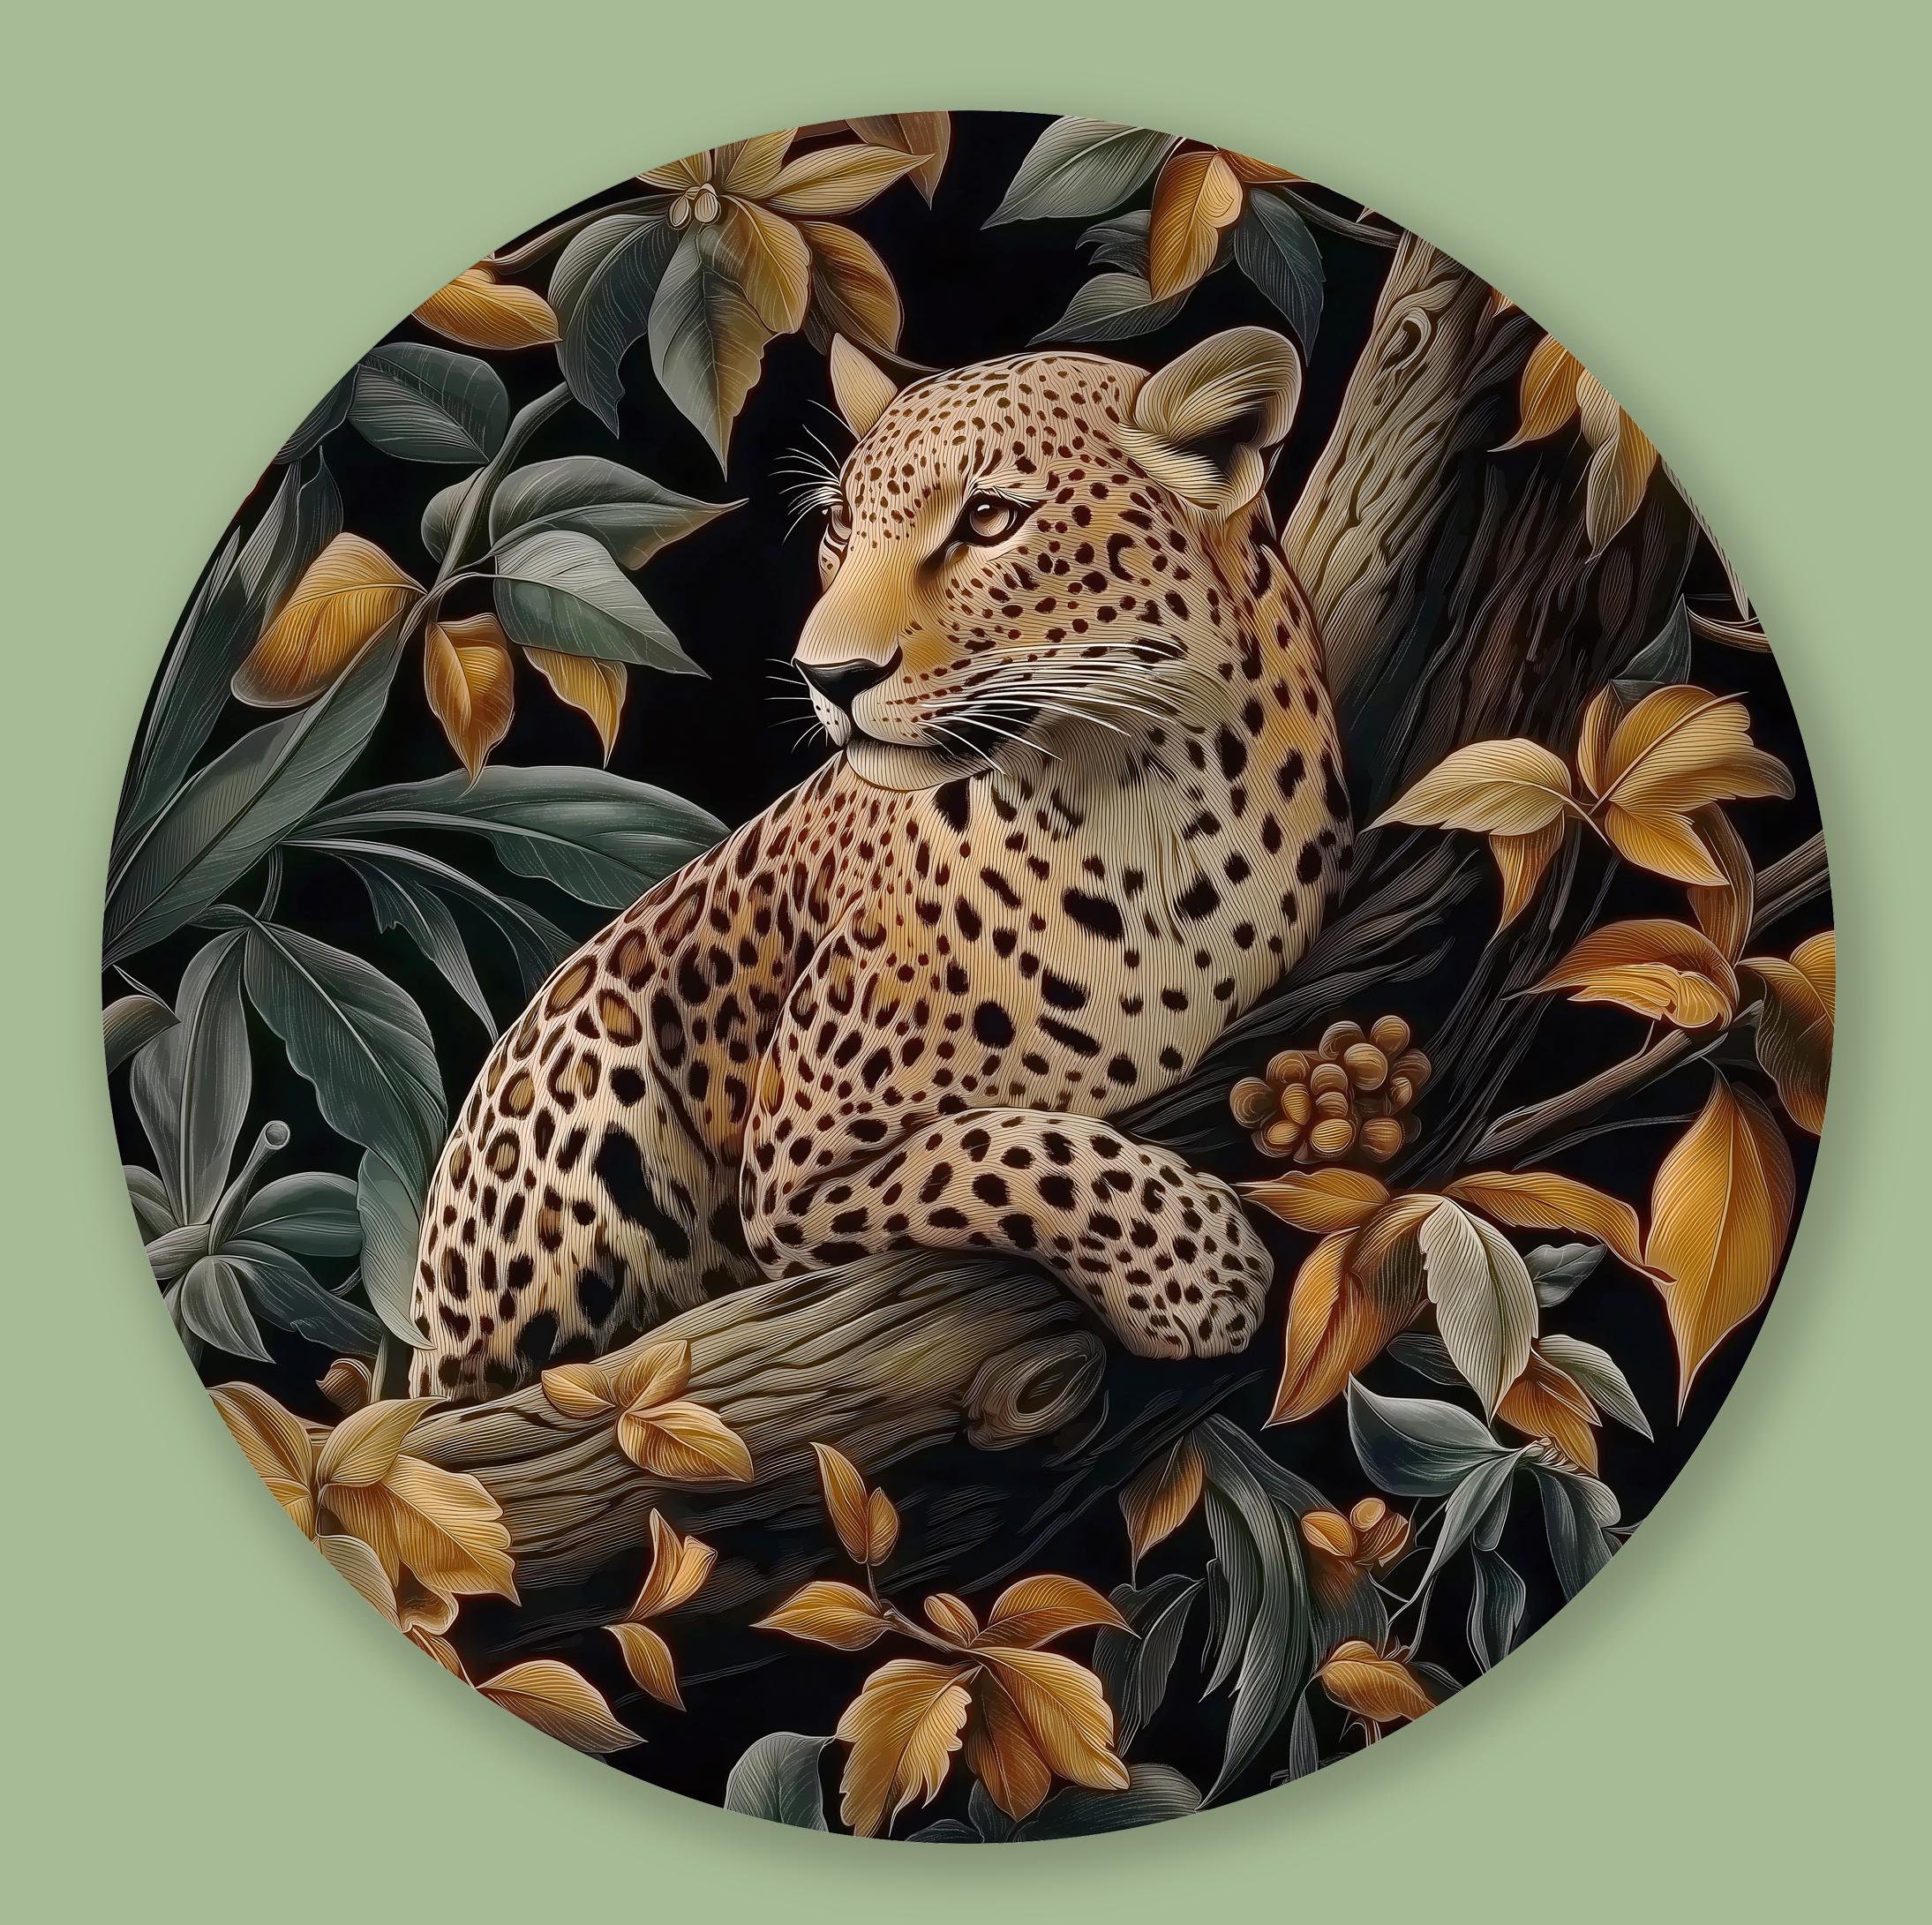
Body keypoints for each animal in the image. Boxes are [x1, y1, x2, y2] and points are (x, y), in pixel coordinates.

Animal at [408, 325, 1352, 1402]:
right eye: (840, 526)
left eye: (987, 519)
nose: (828, 676)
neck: (1136, 809)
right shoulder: (787, 1173)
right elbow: (993, 1147)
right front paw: (1195, 1269)